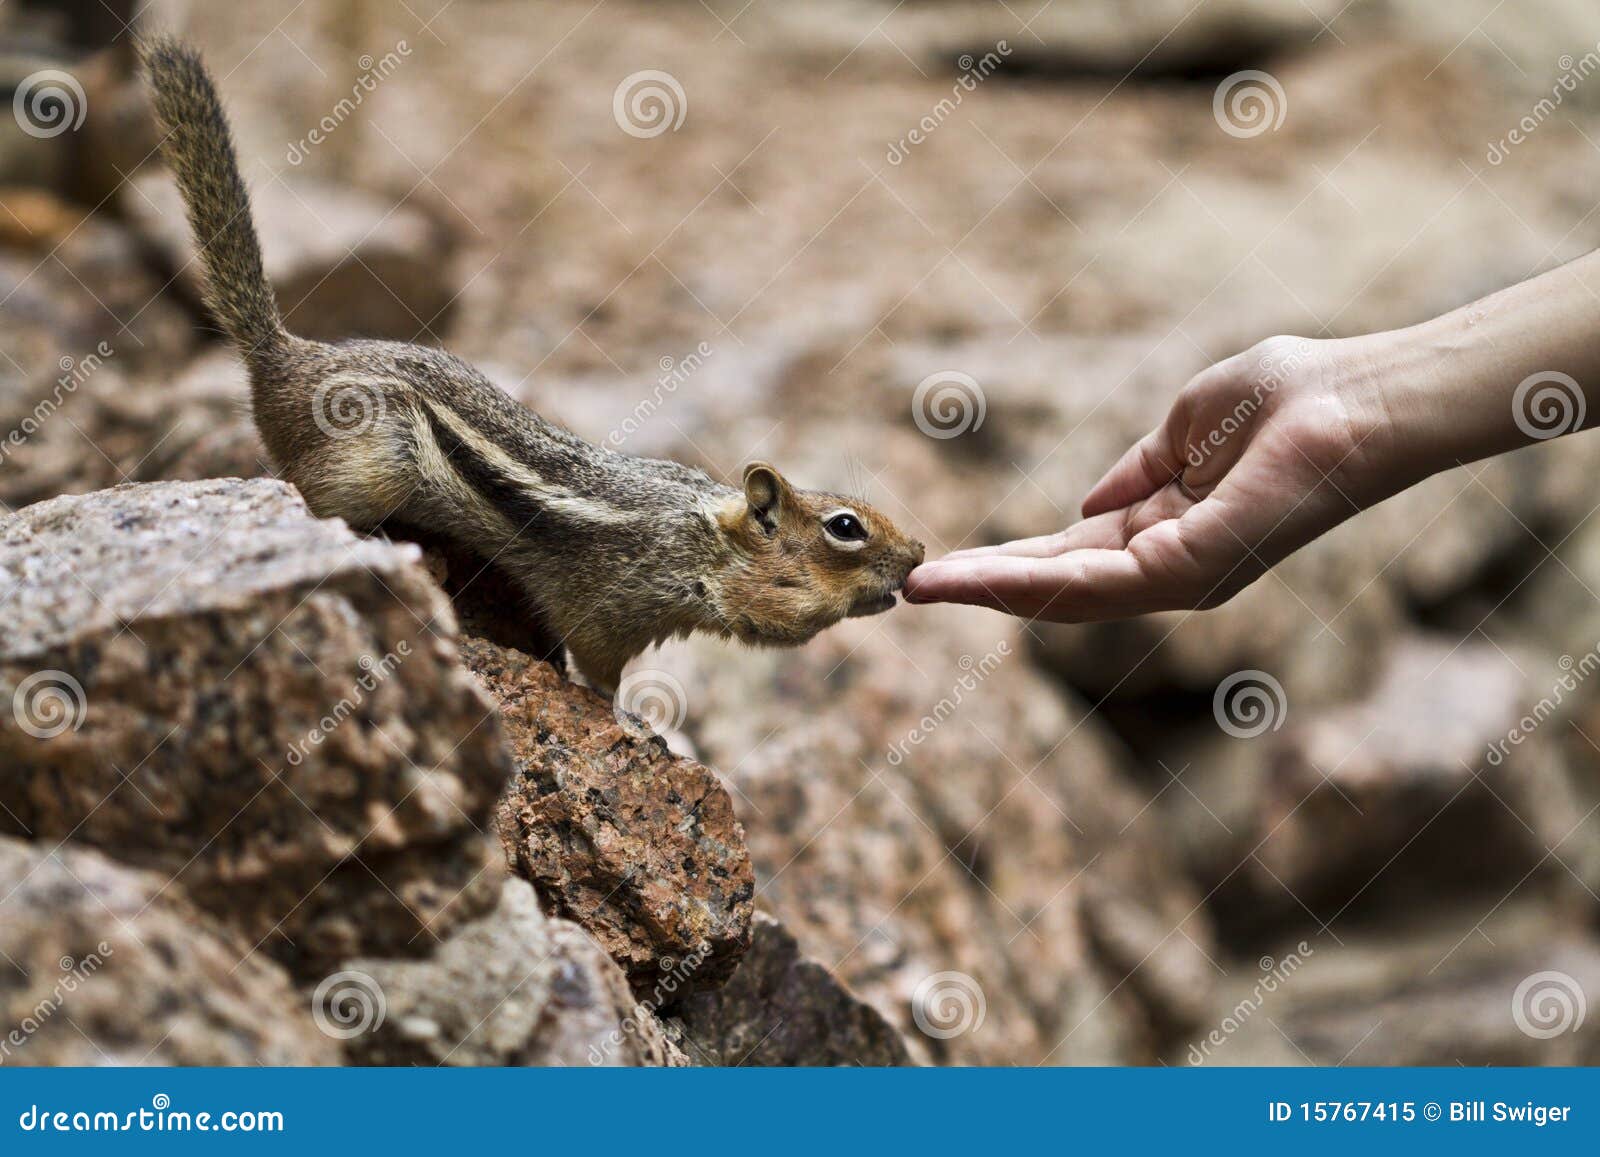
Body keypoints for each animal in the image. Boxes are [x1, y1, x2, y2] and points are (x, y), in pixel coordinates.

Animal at [141, 38, 925, 694]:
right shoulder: (611, 607)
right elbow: (598, 670)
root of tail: (282, 354)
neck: (697, 538)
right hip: (370, 462)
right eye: (845, 527)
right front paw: (629, 720)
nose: (918, 551)